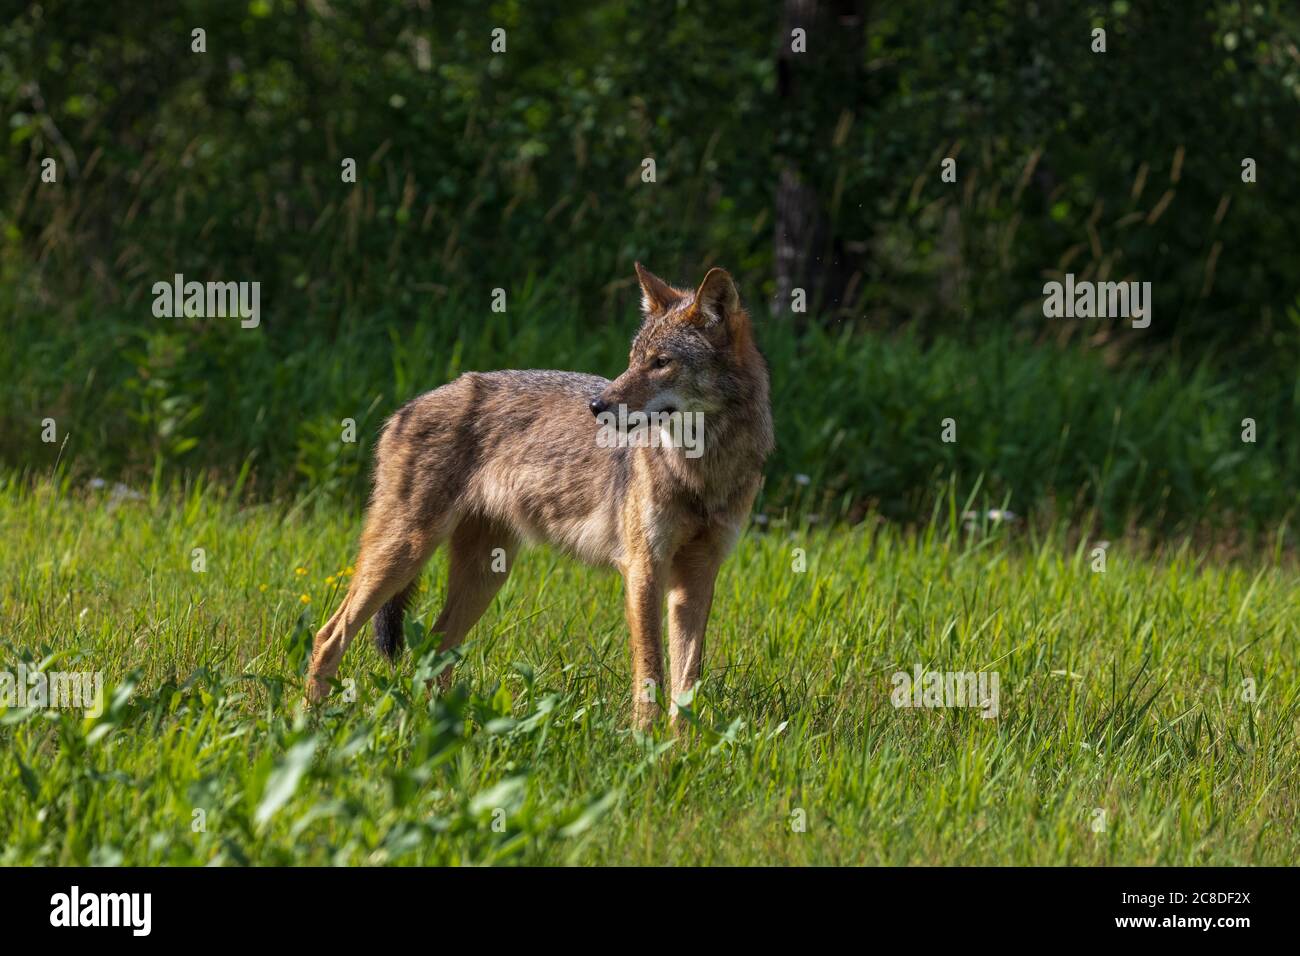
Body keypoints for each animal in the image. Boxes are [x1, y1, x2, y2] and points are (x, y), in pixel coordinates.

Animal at [305, 264, 773, 728]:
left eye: (661, 363)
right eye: (632, 361)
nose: (596, 406)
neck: (701, 471)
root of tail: (403, 408)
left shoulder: (698, 576)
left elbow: (686, 683)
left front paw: (679, 745)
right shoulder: (643, 568)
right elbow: (651, 673)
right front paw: (643, 741)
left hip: (485, 574)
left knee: (432, 654)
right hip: (405, 554)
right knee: (328, 636)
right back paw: (311, 726)